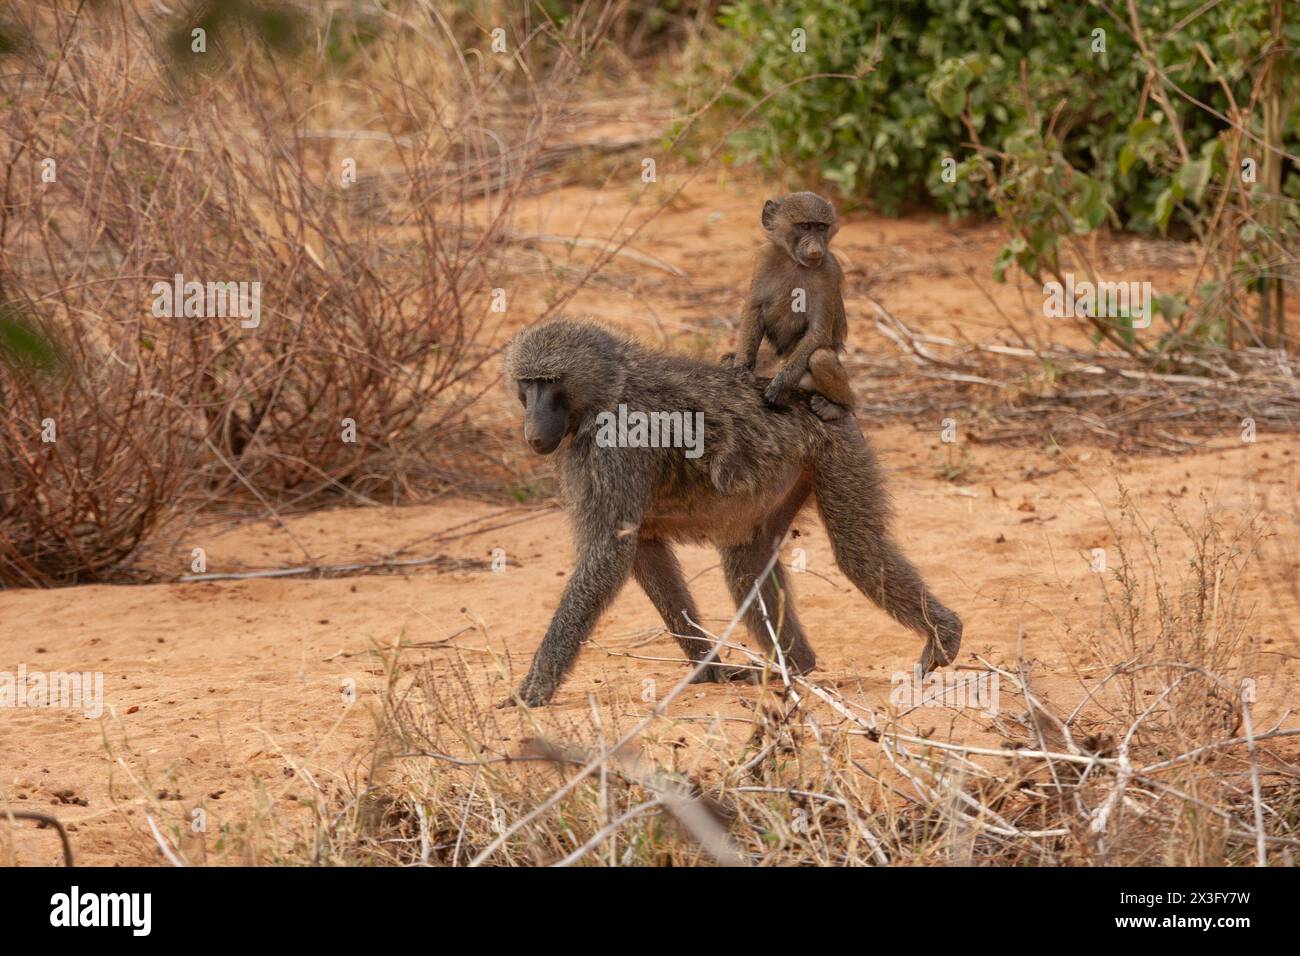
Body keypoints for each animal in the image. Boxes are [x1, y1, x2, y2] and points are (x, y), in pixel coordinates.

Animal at [503, 318, 962, 706]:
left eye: (551, 383)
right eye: (528, 384)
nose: (533, 430)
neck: (610, 387)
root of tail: (820, 401)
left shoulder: (615, 448)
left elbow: (608, 556)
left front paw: (534, 690)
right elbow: (643, 551)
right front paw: (707, 668)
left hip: (837, 449)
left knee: (858, 552)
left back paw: (944, 633)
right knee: (747, 563)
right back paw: (795, 665)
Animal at [724, 192, 854, 422]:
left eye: (821, 227)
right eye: (805, 226)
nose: (816, 250)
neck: (793, 262)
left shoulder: (830, 271)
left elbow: (818, 331)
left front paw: (779, 386)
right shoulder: (764, 258)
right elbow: (754, 310)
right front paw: (741, 368)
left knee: (820, 357)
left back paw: (839, 407)